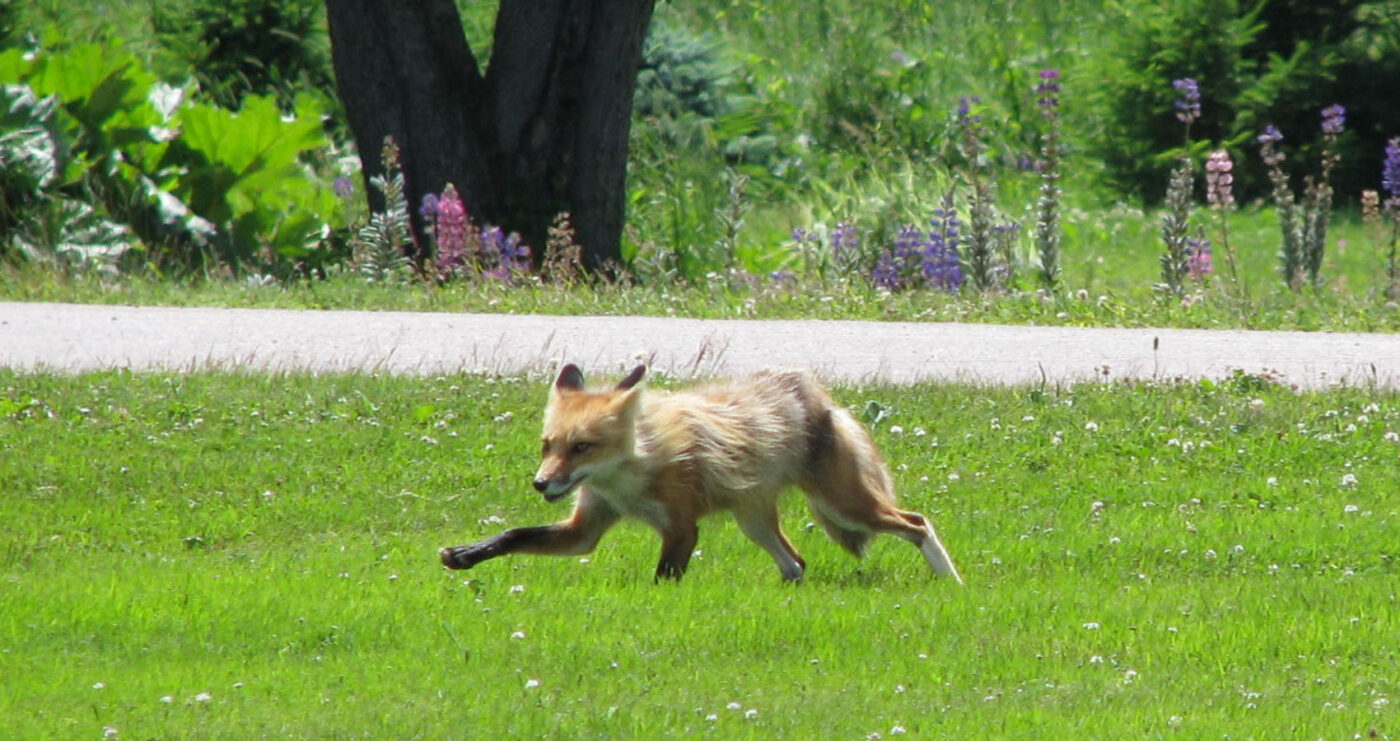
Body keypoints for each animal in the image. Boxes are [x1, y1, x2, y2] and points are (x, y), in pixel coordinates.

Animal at [438, 363, 963, 584]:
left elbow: (663, 579)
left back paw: (949, 581)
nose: (541, 483)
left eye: (582, 447)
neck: (627, 481)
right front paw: (465, 555)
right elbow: (513, 535)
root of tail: (817, 396)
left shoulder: (682, 527)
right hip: (754, 523)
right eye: (548, 446)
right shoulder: (583, 530)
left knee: (917, 523)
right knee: (795, 563)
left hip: (847, 506)